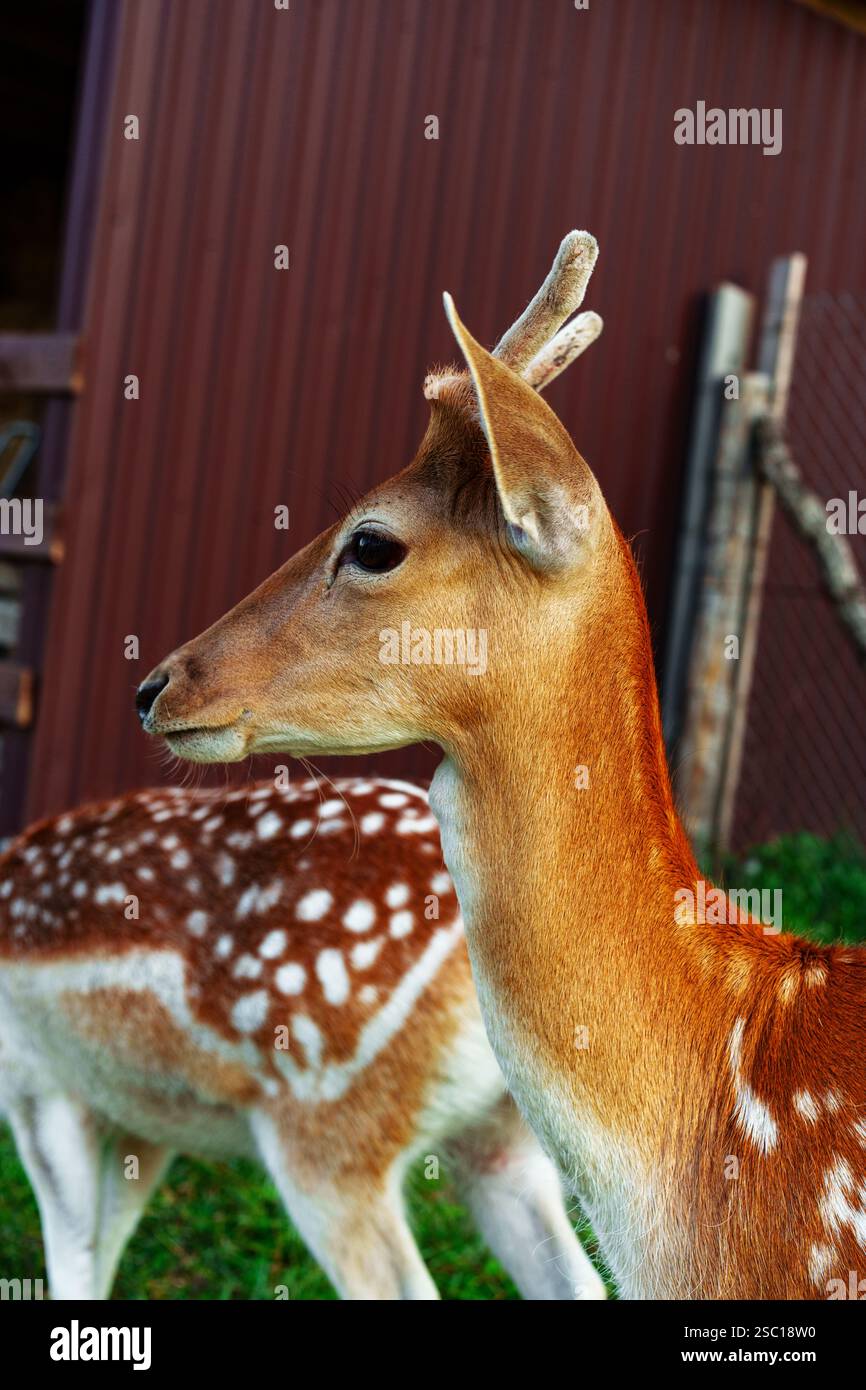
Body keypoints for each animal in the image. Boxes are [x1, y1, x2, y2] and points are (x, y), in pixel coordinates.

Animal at [0, 237, 608, 1302]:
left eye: (370, 543)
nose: (153, 686)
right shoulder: (138, 1116)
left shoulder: (40, 1084)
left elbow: (70, 1259)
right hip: (504, 1138)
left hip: (325, 1116)